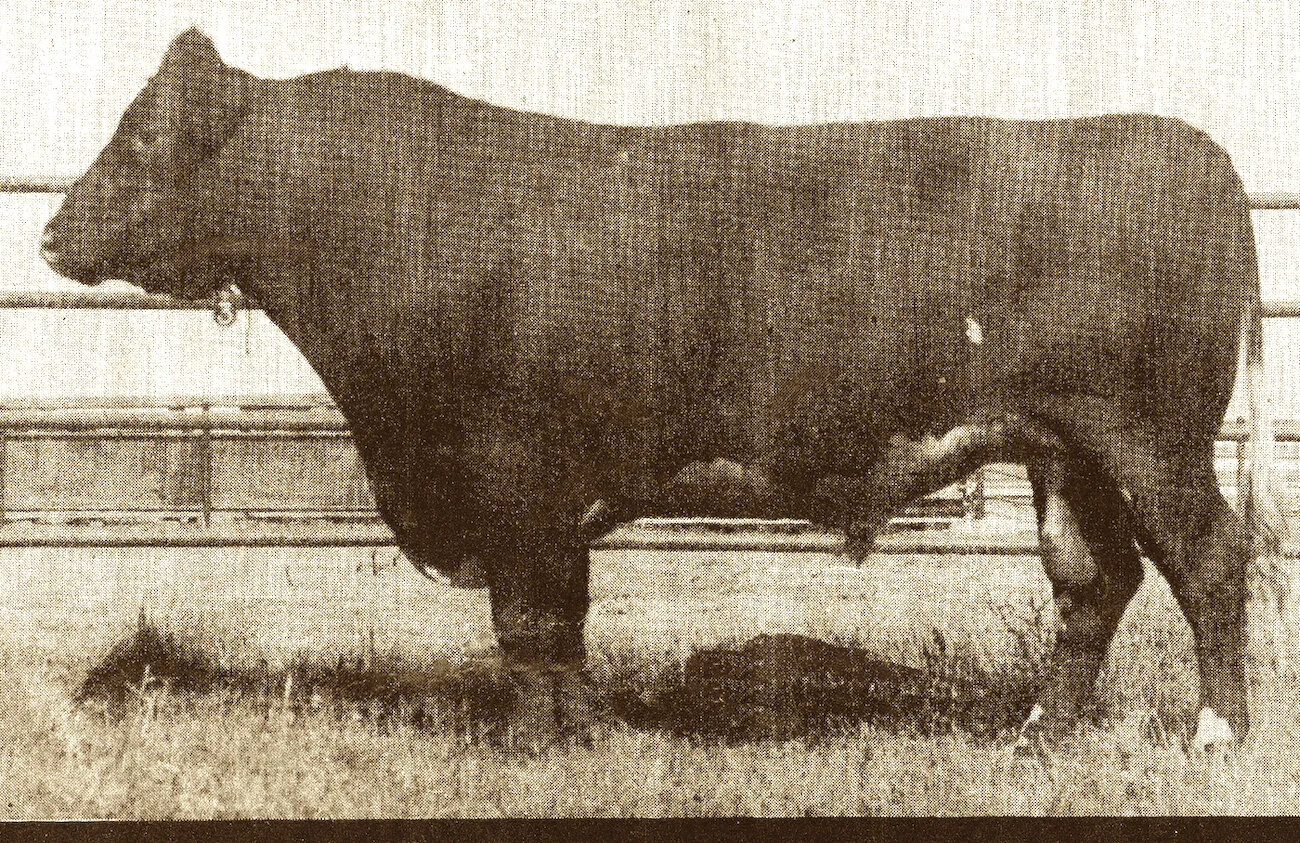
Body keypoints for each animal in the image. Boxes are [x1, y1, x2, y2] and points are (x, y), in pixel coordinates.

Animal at [42, 29, 1272, 745]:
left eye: (141, 136)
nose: (52, 234)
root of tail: (1196, 149)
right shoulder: (532, 491)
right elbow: (558, 624)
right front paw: (588, 731)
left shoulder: (514, 473)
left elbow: (531, 619)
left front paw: (537, 744)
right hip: (1065, 447)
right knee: (1093, 581)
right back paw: (1040, 734)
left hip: (1150, 437)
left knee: (1207, 560)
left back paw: (1217, 736)